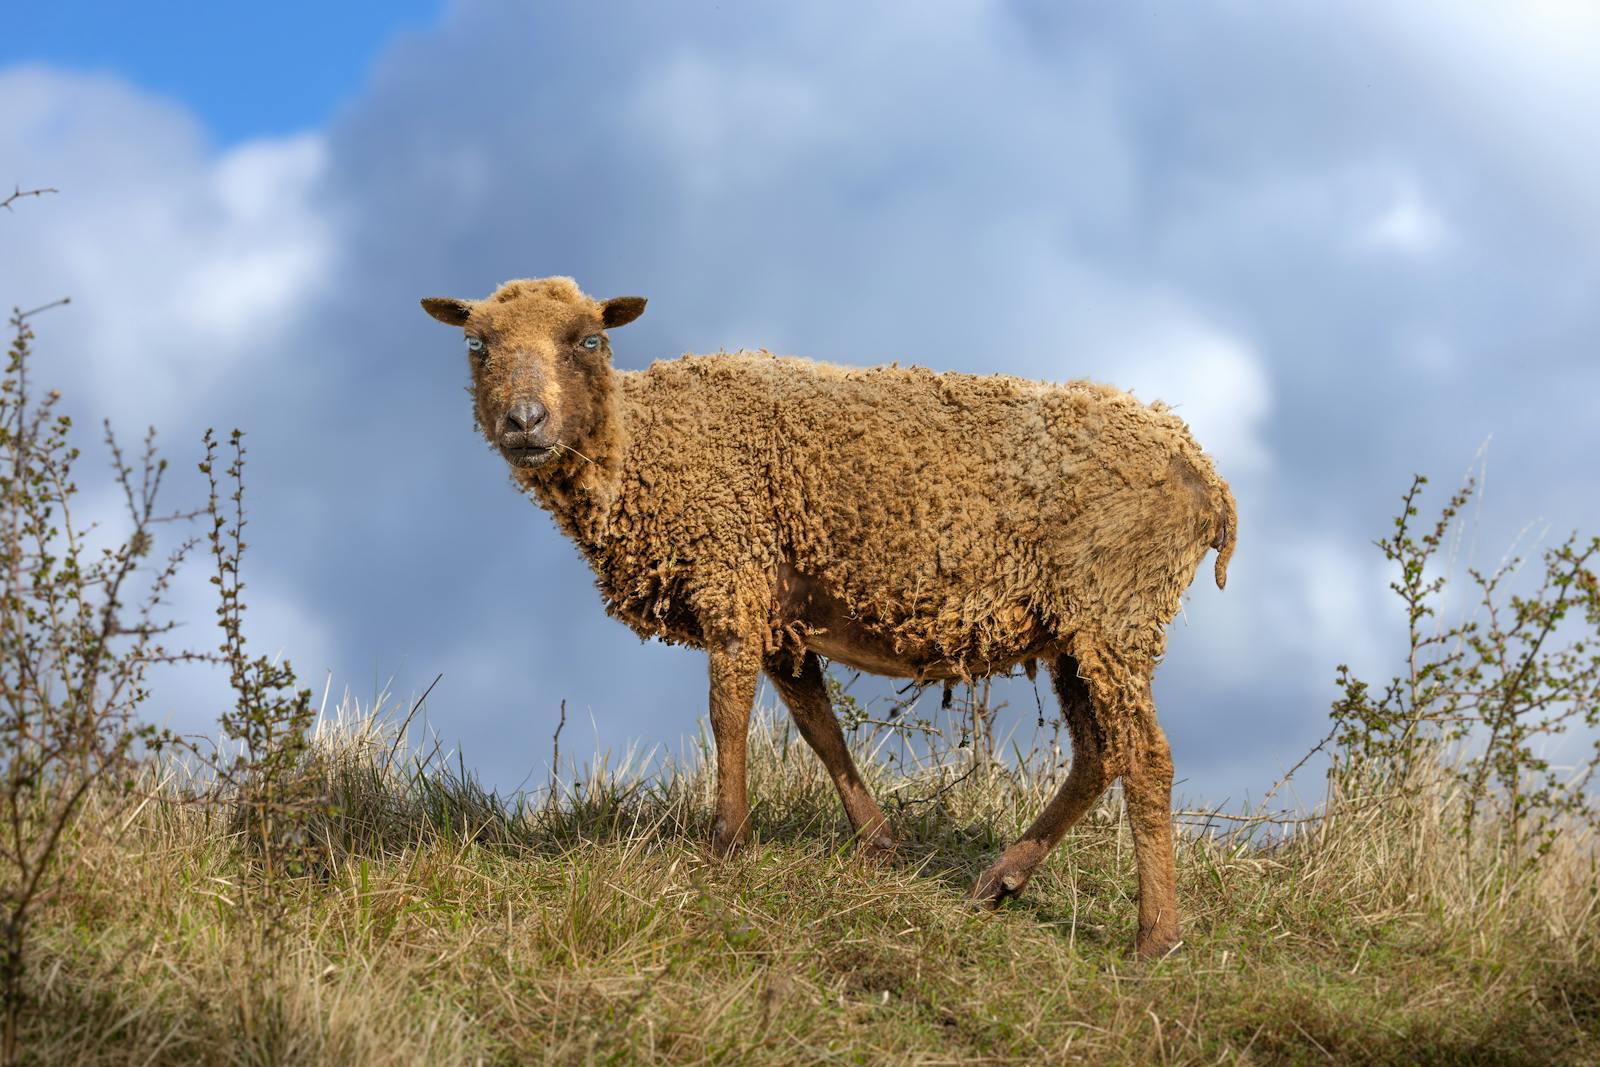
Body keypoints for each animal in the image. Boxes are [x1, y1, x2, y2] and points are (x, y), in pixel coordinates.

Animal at [420, 276, 1236, 958]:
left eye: (589, 340)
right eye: (477, 344)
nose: (524, 421)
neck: (647, 448)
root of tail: (1207, 479)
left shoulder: (731, 570)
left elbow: (727, 715)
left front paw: (725, 846)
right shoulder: (779, 614)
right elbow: (819, 727)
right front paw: (879, 846)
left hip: (1114, 608)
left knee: (1147, 758)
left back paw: (1155, 937)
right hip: (1075, 627)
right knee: (1101, 752)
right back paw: (1001, 880)